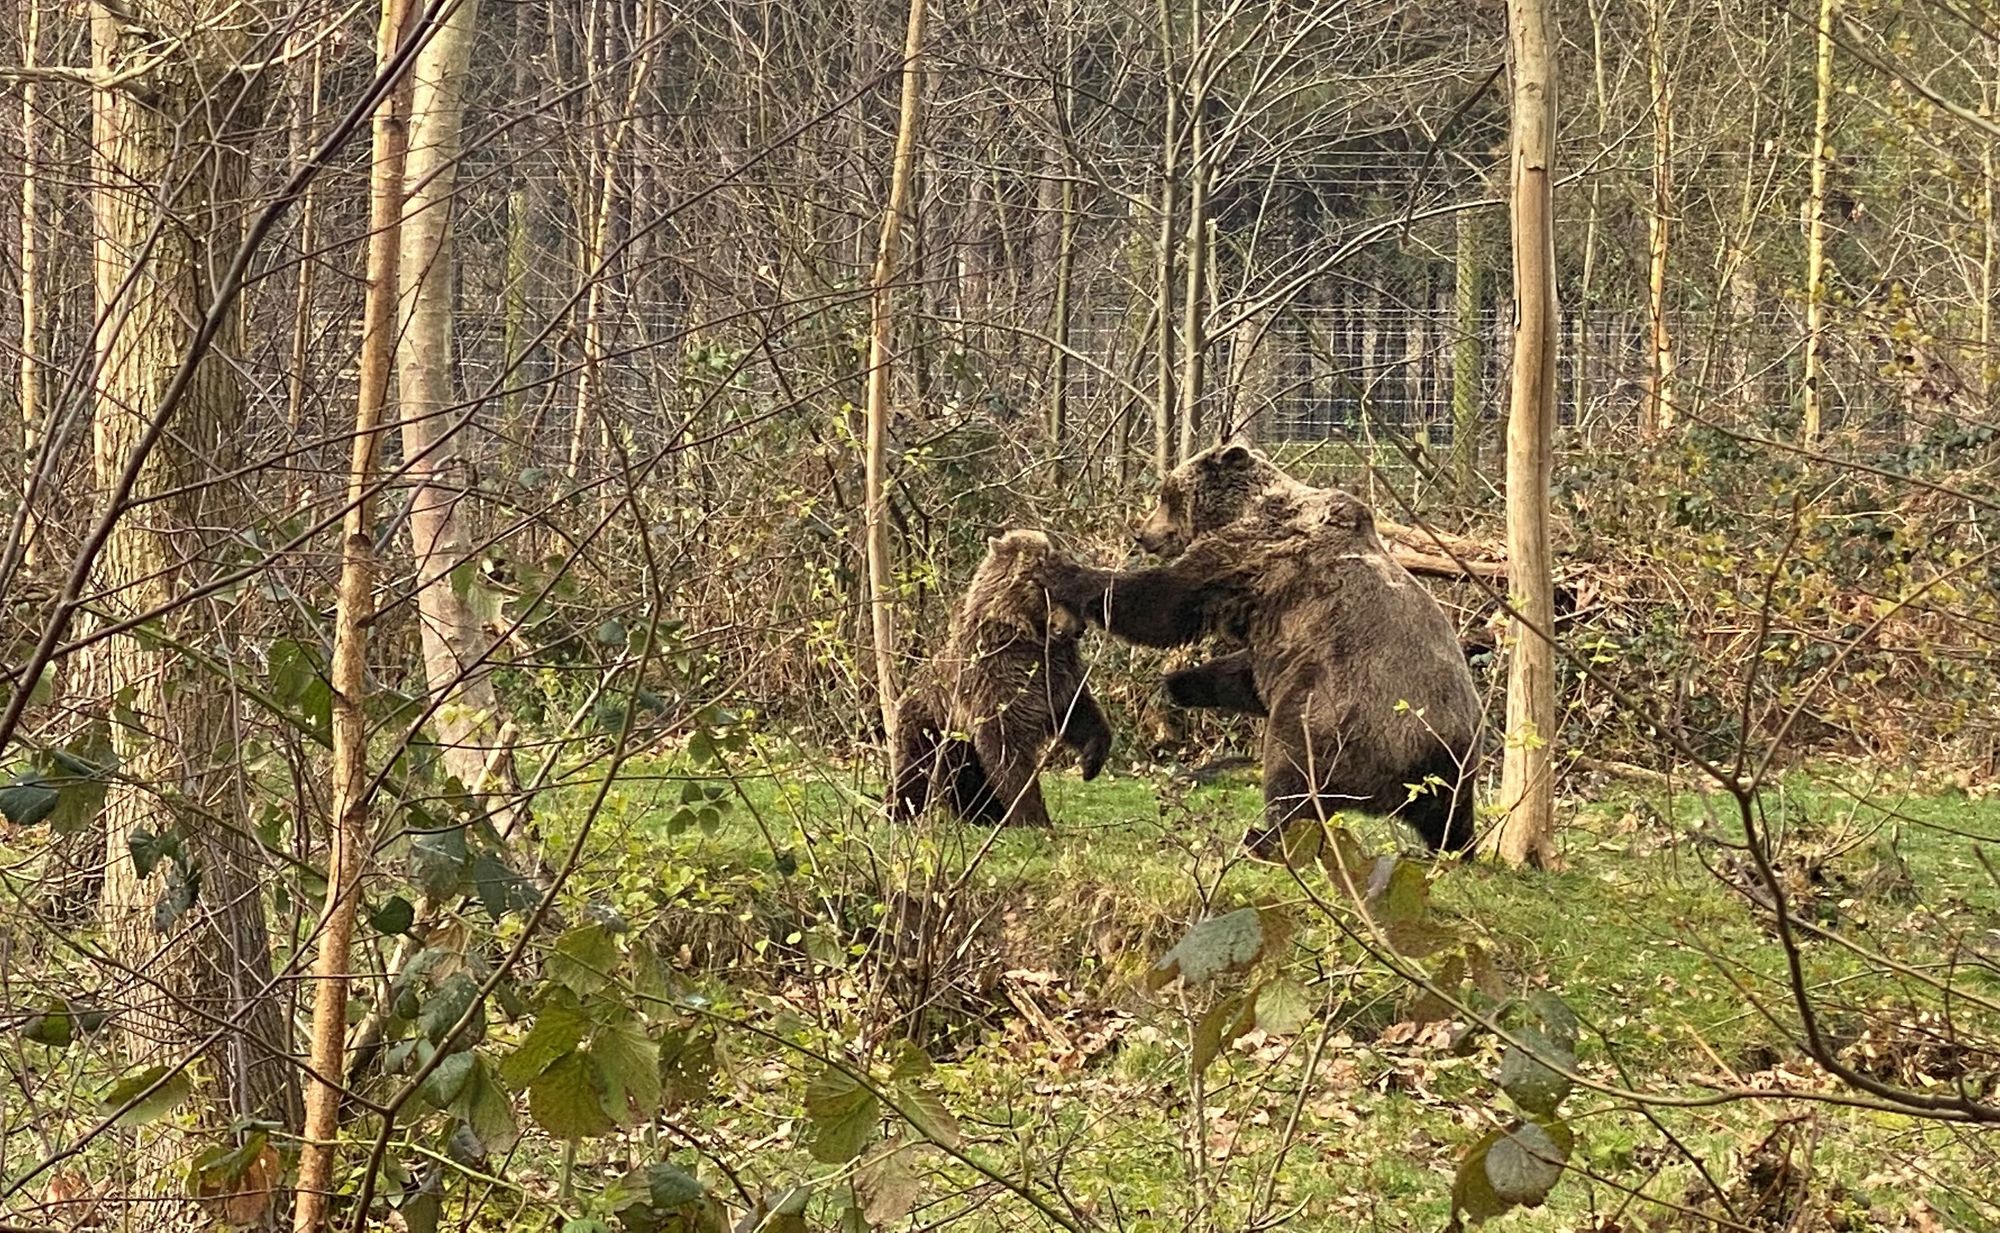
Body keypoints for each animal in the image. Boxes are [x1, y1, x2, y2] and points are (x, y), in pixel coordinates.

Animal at [891, 529, 1113, 829]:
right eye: (1045, 586)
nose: (1078, 628)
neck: (1026, 636)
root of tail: (906, 690)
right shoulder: (999, 681)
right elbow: (1008, 749)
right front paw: (1032, 816)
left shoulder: (1056, 678)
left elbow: (1081, 715)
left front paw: (1090, 763)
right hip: (931, 726)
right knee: (916, 771)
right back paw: (901, 813)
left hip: (962, 746)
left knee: (969, 780)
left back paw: (985, 814)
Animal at [1034, 443, 1482, 855]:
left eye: (1166, 494)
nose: (1142, 533)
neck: (1240, 510)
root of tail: (1412, 766)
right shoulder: (1272, 625)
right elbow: (1243, 673)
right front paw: (1178, 680)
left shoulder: (1249, 557)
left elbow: (1164, 602)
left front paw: (1062, 569)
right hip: (1450, 769)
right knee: (1448, 816)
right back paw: (1456, 847)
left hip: (1339, 719)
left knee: (1291, 774)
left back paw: (1265, 839)